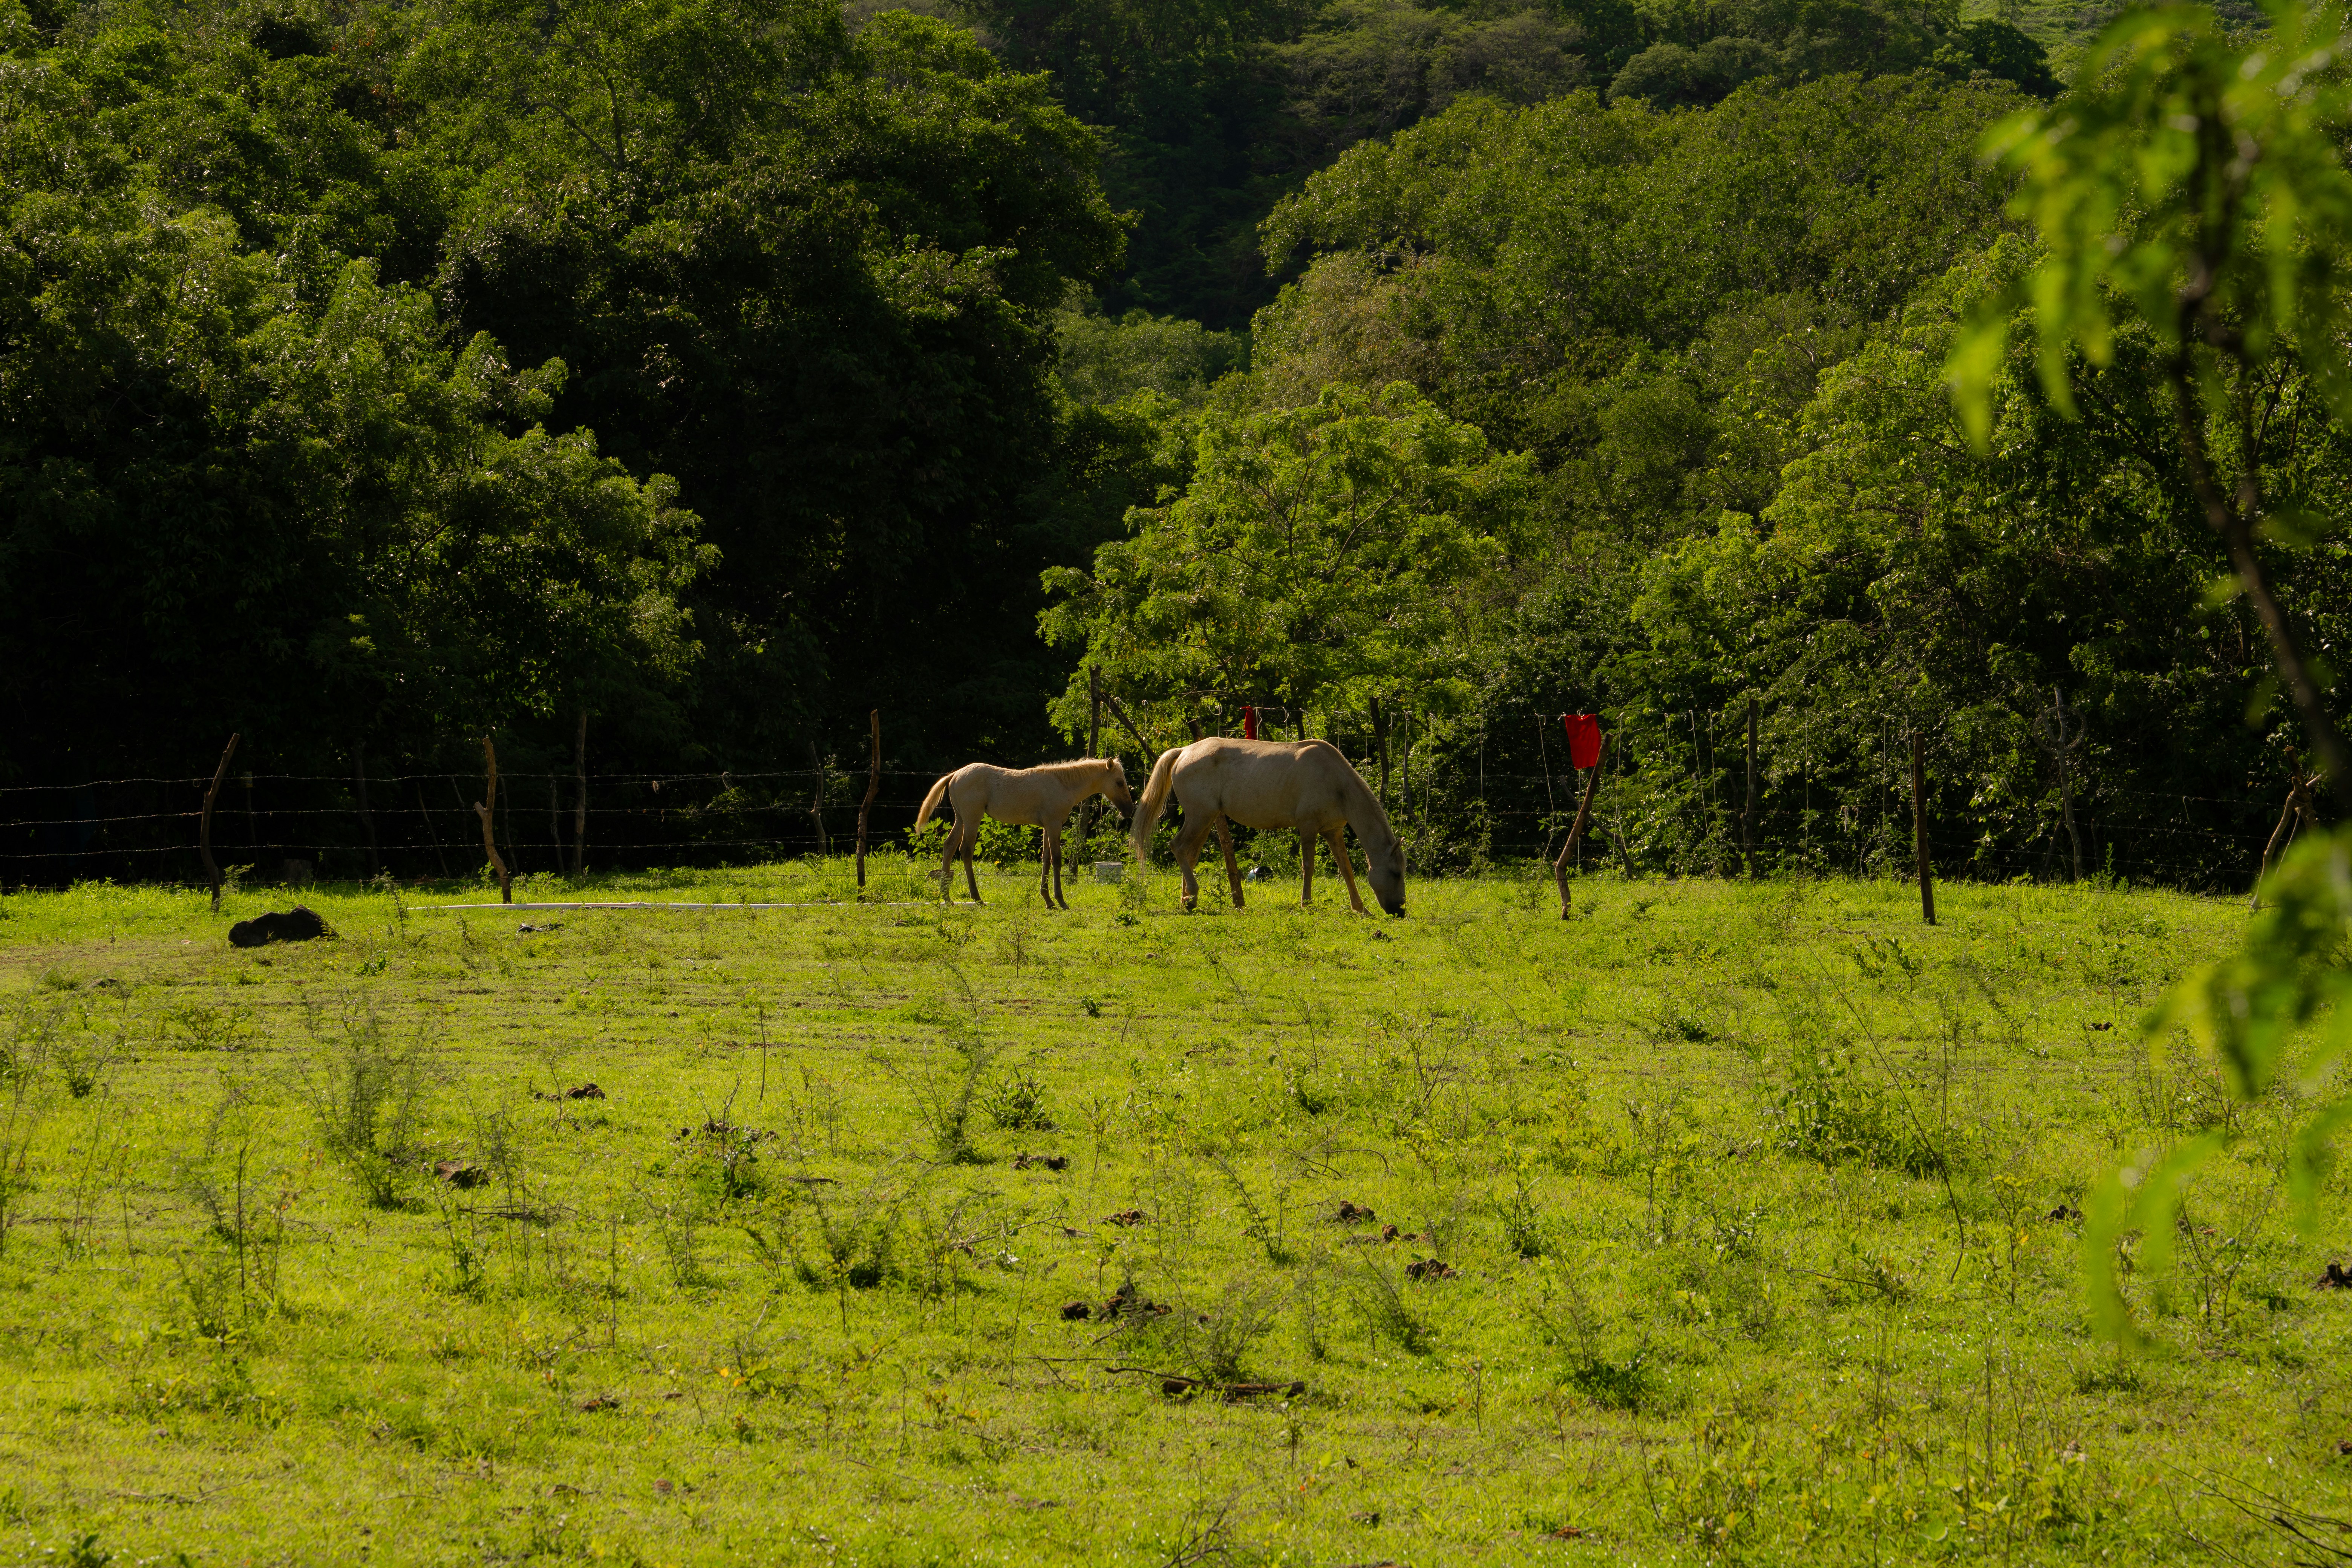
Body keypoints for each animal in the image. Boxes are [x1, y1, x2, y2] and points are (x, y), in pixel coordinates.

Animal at [913, 757, 1133, 909]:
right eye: (1120, 782)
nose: (1129, 810)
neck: (1063, 784)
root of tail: (955, 775)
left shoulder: (1047, 827)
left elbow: (1046, 859)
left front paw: (1048, 900)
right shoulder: (1054, 825)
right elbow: (1057, 860)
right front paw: (1061, 901)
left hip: (961, 819)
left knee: (949, 847)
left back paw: (947, 898)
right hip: (972, 819)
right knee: (965, 850)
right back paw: (977, 898)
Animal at [1129, 737, 1405, 915]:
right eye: (1396, 873)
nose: (1400, 911)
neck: (1337, 783)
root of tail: (1185, 751)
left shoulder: (1332, 831)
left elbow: (1346, 870)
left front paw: (1360, 908)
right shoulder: (1308, 828)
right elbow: (1309, 867)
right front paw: (1307, 904)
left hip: (1206, 820)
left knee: (1189, 854)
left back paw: (1188, 900)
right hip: (1200, 816)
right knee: (1178, 847)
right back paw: (1192, 895)